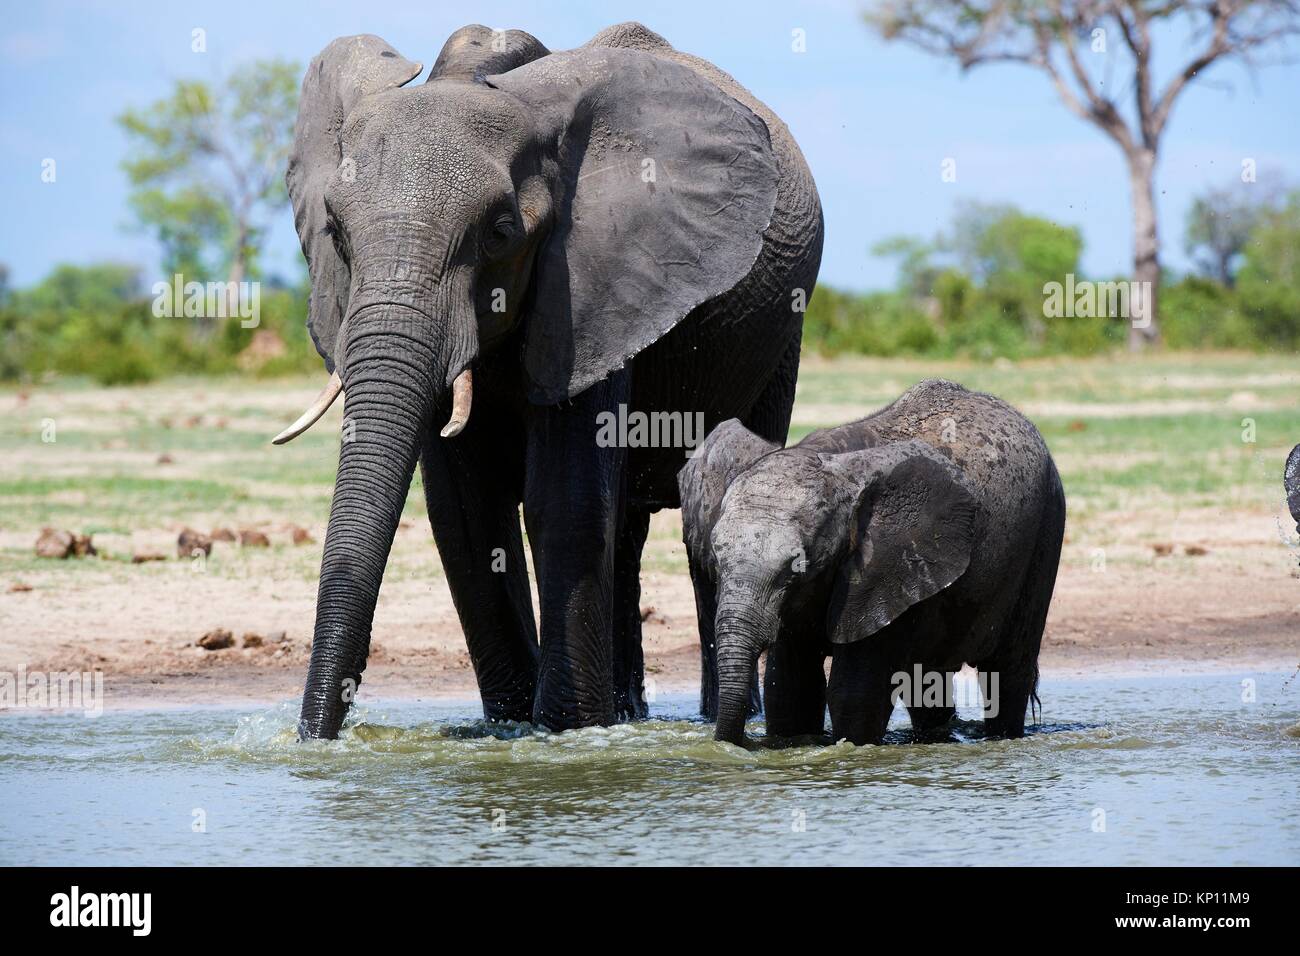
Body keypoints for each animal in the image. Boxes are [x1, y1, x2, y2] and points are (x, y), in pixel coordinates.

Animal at [273, 22, 823, 739]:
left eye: (500, 233)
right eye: (336, 233)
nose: (316, 734)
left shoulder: (595, 287)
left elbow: (562, 503)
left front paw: (563, 731)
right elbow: (467, 516)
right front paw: (514, 728)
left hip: (782, 332)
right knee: (625, 529)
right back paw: (627, 712)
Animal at [679, 379, 1066, 745]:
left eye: (798, 570)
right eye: (716, 559)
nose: (731, 743)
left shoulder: (885, 569)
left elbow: (854, 692)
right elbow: (790, 689)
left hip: (1045, 531)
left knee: (1007, 672)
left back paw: (1002, 737)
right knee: (928, 681)